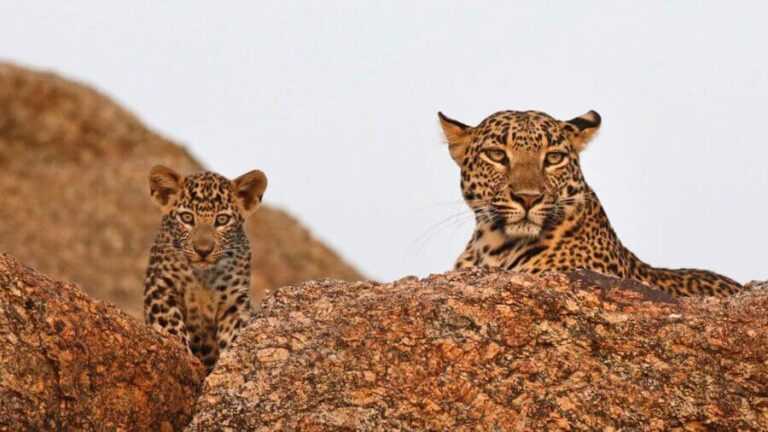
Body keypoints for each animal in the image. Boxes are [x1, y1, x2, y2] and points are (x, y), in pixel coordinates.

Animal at [143, 165, 267, 372]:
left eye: (222, 220)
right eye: (187, 218)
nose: (203, 250)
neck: (202, 277)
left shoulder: (233, 302)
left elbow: (236, 334)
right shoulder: (160, 288)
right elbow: (171, 325)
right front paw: (183, 355)